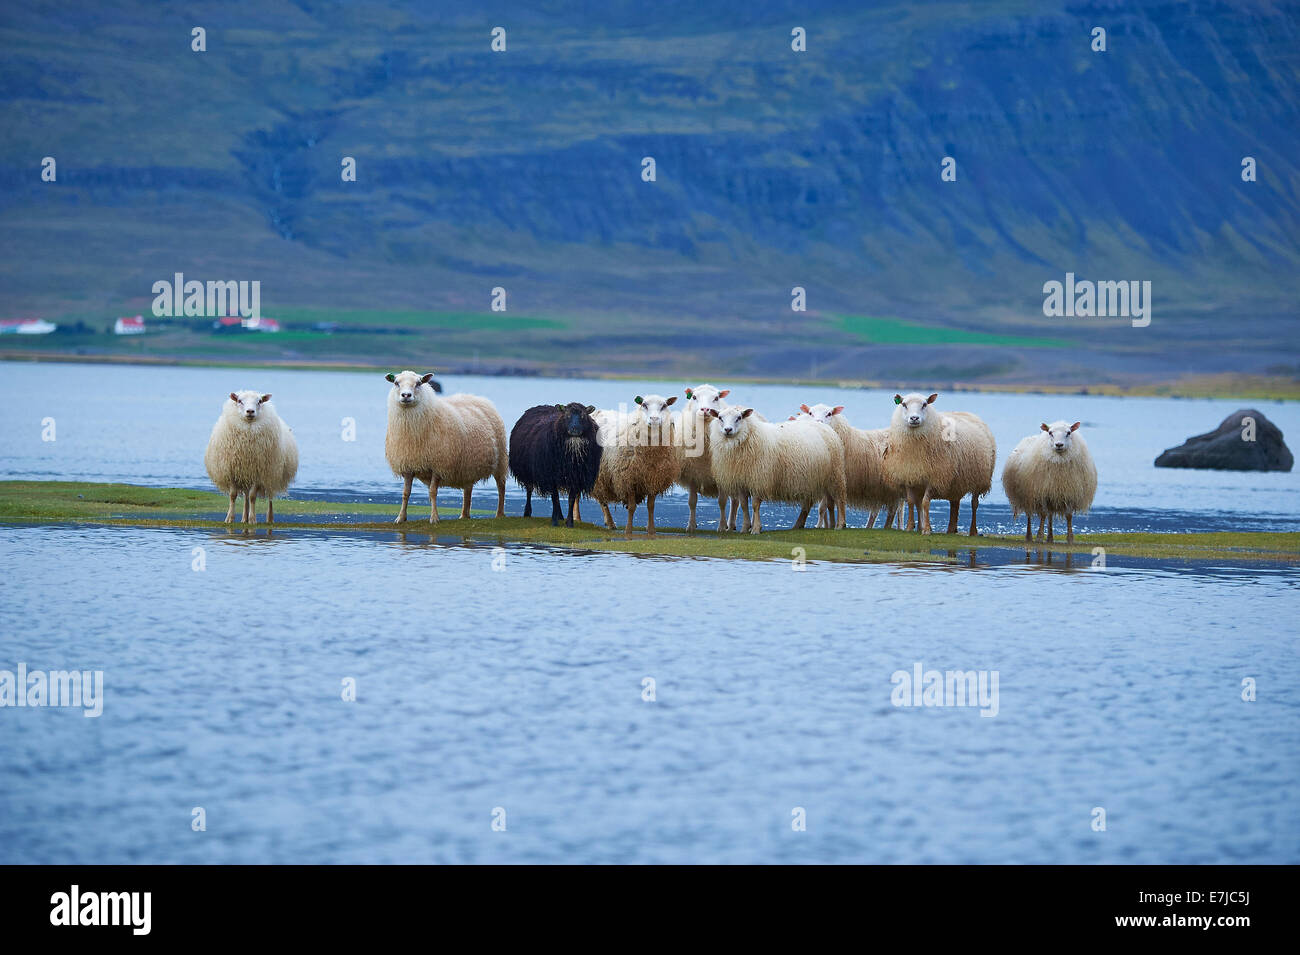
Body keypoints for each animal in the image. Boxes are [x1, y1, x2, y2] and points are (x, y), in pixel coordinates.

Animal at [204, 390, 298, 524]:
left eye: (259, 401)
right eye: (239, 401)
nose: (250, 411)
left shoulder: (259, 472)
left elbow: (253, 496)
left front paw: (253, 519)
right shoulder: (232, 471)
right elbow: (233, 495)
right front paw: (229, 518)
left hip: (271, 474)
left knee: (269, 497)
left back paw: (269, 518)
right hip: (245, 475)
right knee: (246, 497)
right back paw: (244, 518)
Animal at [383, 370, 507, 523]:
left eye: (418, 383)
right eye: (396, 383)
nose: (406, 395)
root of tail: (478, 398)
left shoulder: (439, 464)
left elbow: (432, 492)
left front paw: (434, 518)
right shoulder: (407, 465)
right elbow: (406, 493)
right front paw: (401, 517)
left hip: (501, 458)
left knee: (501, 486)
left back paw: (499, 513)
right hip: (469, 465)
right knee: (468, 489)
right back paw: (464, 515)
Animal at [591, 394, 682, 537]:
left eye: (664, 405)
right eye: (644, 405)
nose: (654, 419)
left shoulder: (653, 479)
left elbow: (651, 506)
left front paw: (651, 531)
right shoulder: (628, 478)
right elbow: (632, 507)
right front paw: (628, 531)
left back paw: (609, 523)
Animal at [705, 405, 848, 533]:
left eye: (739, 417)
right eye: (720, 417)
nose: (727, 429)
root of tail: (825, 427)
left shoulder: (759, 479)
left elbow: (755, 505)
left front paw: (756, 528)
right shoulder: (741, 480)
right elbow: (744, 505)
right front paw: (745, 528)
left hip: (835, 474)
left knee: (840, 499)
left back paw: (840, 524)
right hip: (813, 479)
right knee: (812, 503)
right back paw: (801, 525)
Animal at [882, 392, 996, 536]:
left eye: (925, 404)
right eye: (904, 404)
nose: (914, 418)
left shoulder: (935, 477)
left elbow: (925, 502)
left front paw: (926, 529)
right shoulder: (909, 476)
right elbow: (911, 501)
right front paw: (910, 527)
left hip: (979, 479)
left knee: (974, 503)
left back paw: (973, 531)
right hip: (956, 481)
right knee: (954, 503)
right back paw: (951, 529)